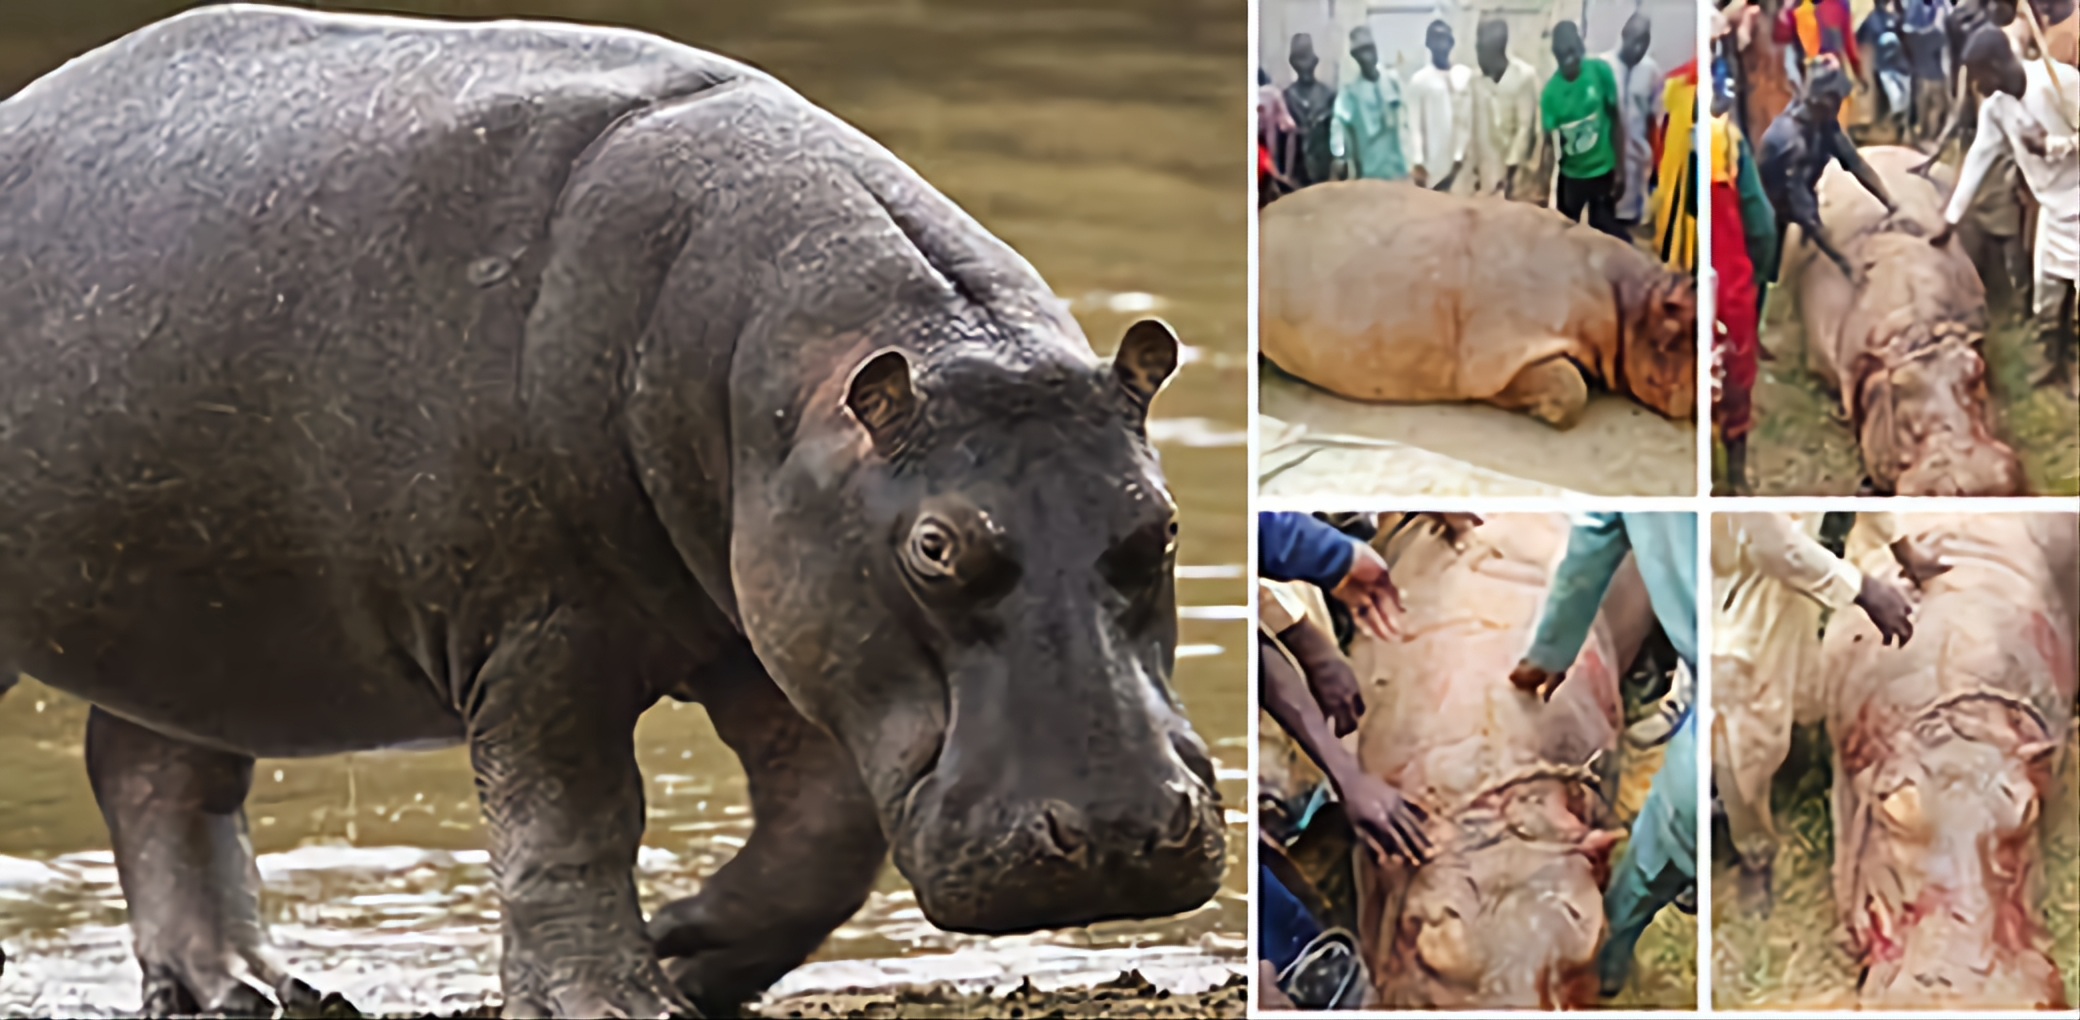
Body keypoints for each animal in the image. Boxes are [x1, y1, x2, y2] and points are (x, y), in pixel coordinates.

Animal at [0, 6, 1226, 1018]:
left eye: (1160, 522)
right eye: (934, 544)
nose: (1118, 832)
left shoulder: (769, 623)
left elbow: (822, 834)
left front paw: (685, 949)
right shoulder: (537, 634)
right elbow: (572, 823)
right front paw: (616, 1003)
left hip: (189, 617)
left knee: (155, 772)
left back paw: (247, 992)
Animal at [1258, 181, 1697, 429]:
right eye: (1677, 342)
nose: (1701, 404)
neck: (1634, 302)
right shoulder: (1494, 352)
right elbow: (1569, 387)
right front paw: (1539, 408)